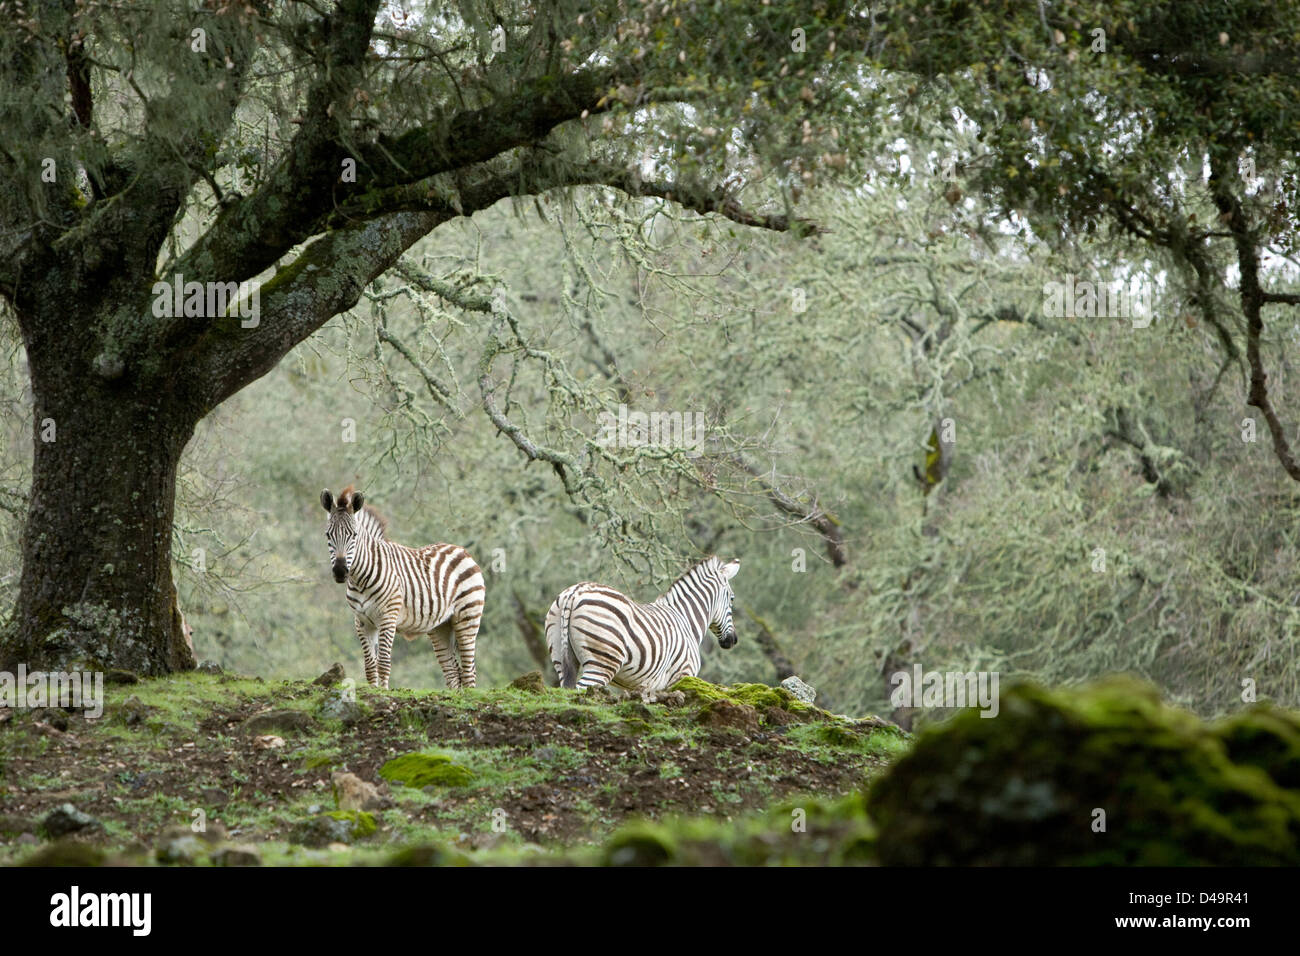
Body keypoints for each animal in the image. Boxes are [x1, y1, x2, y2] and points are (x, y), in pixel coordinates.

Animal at [320, 486, 485, 689]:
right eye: (328, 535)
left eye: (354, 535)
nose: (340, 571)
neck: (360, 580)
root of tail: (461, 550)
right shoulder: (362, 621)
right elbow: (370, 665)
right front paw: (374, 690)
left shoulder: (388, 617)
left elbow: (383, 661)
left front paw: (383, 691)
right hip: (441, 626)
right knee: (453, 671)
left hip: (467, 617)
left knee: (469, 672)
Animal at [545, 556, 741, 694]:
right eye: (732, 599)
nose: (733, 641)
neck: (685, 619)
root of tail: (574, 592)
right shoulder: (683, 676)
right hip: (602, 661)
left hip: (560, 656)